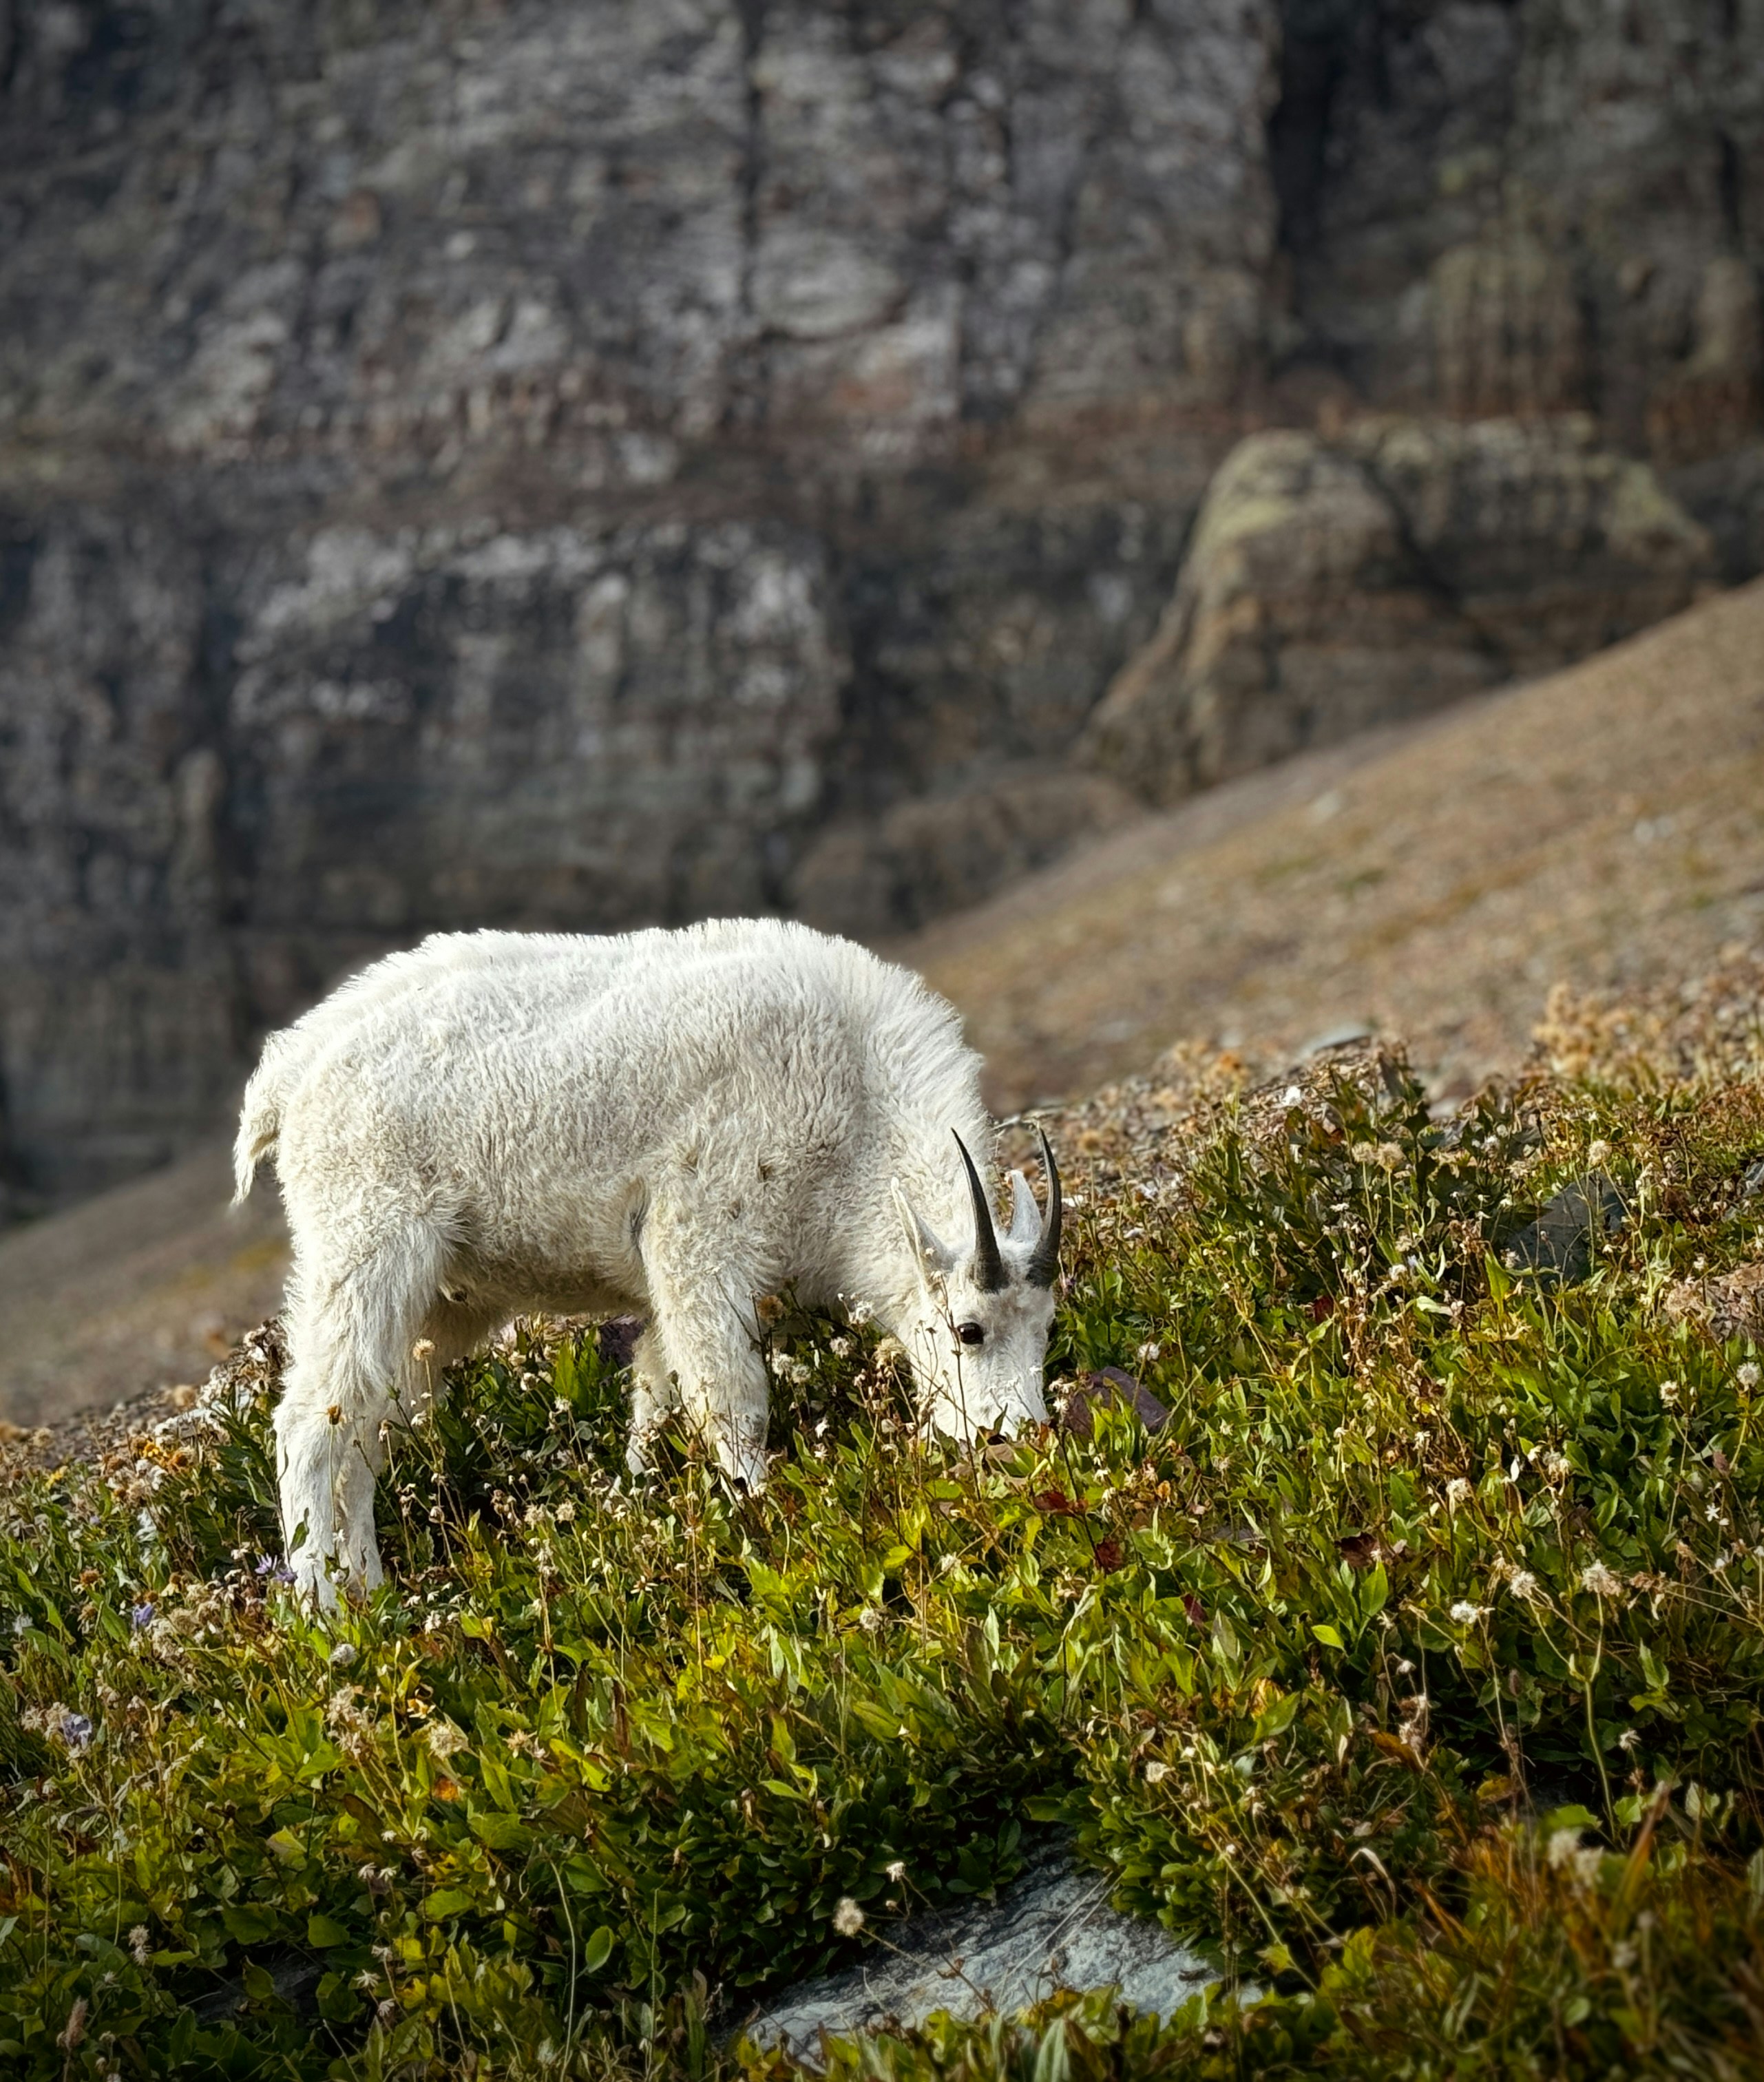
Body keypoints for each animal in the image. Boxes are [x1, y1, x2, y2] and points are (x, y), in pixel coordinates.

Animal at [233, 919, 1062, 1605]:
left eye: (1046, 1331)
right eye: (968, 1331)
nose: (1014, 1441)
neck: (856, 1118)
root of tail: (288, 1076)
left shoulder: (692, 1292)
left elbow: (653, 1397)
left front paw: (641, 1507)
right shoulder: (699, 1234)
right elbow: (731, 1403)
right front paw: (762, 1523)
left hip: (446, 1300)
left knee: (368, 1431)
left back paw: (372, 1593)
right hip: (364, 1241)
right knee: (310, 1424)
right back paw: (323, 1609)